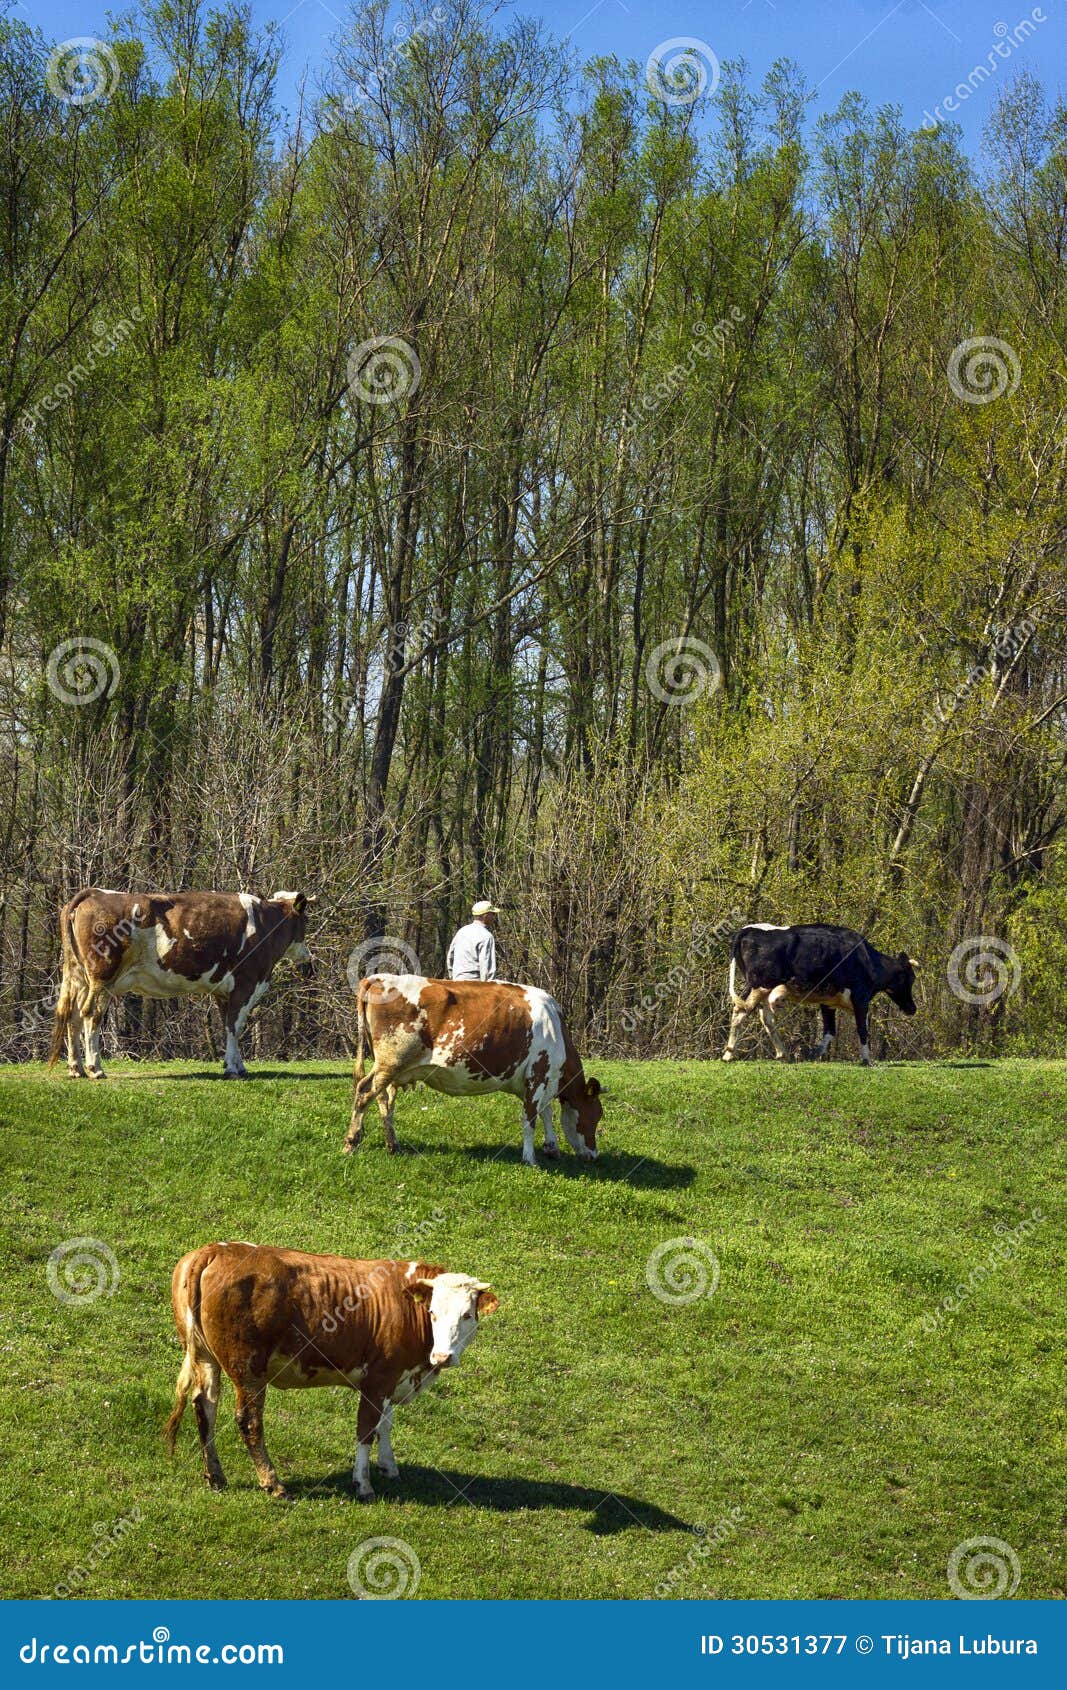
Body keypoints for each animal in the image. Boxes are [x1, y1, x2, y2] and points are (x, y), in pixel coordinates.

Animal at [48, 888, 313, 1080]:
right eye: (305, 921)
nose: (308, 955)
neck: (266, 924)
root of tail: (95, 892)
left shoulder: (223, 991)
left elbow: (228, 1025)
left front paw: (236, 1065)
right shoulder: (246, 984)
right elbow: (234, 1026)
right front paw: (233, 1069)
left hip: (78, 976)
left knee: (73, 1016)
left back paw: (76, 1068)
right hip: (102, 977)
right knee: (91, 1014)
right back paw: (95, 1068)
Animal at [164, 1242, 498, 1501]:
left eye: (467, 1315)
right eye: (432, 1312)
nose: (443, 1356)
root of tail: (214, 1250)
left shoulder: (393, 1376)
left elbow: (386, 1424)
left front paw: (389, 1467)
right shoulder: (378, 1379)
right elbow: (367, 1429)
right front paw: (363, 1485)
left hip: (206, 1358)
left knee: (205, 1407)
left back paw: (215, 1476)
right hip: (248, 1368)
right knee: (249, 1420)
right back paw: (272, 1483)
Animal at [342, 975, 603, 1168]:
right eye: (595, 1117)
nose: (593, 1155)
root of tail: (379, 977)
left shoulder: (537, 1080)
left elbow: (545, 1112)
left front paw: (551, 1147)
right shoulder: (538, 1073)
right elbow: (530, 1118)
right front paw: (530, 1159)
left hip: (389, 1067)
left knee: (383, 1100)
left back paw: (393, 1145)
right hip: (391, 1061)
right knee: (365, 1091)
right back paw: (351, 1142)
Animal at [721, 922, 918, 1065]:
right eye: (910, 978)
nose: (912, 1008)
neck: (868, 960)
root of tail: (747, 929)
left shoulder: (828, 1001)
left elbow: (830, 1030)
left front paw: (815, 1053)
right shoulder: (860, 997)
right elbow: (862, 1029)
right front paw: (867, 1060)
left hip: (758, 988)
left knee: (764, 1017)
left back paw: (782, 1053)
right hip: (760, 986)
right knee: (742, 1012)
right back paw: (728, 1054)